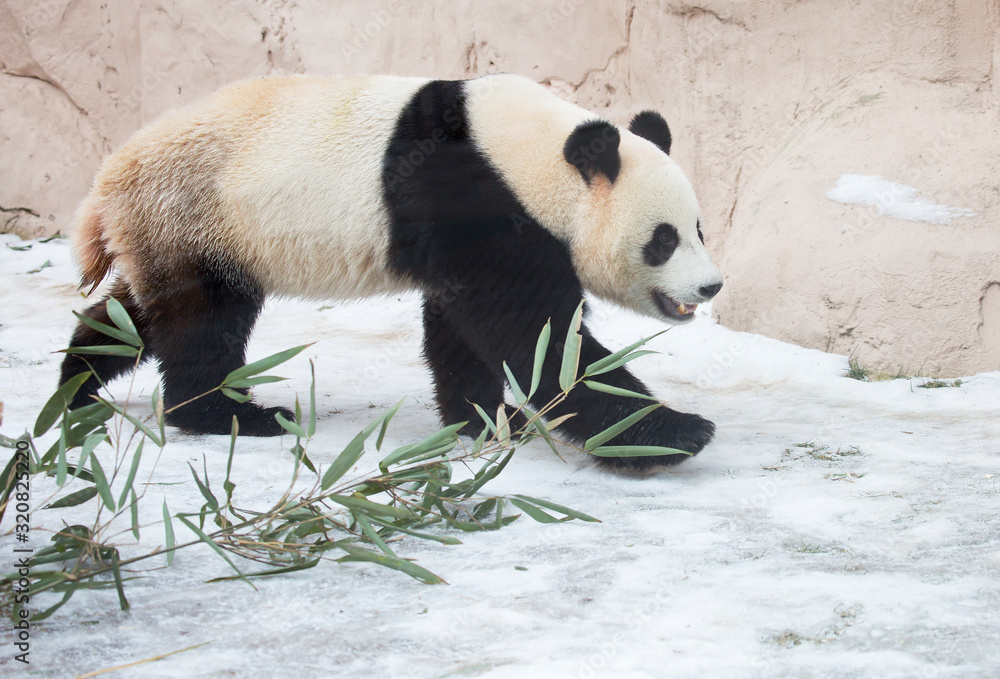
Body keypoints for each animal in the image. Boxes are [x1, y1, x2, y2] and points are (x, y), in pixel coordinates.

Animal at [59, 73, 724, 472]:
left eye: (700, 231)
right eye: (663, 240)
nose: (710, 286)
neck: (535, 158)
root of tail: (108, 179)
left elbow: (462, 330)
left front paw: (484, 419)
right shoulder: (474, 197)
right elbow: (538, 336)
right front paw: (671, 433)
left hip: (172, 229)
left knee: (138, 317)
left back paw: (78, 383)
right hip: (198, 210)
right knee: (205, 321)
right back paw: (232, 415)